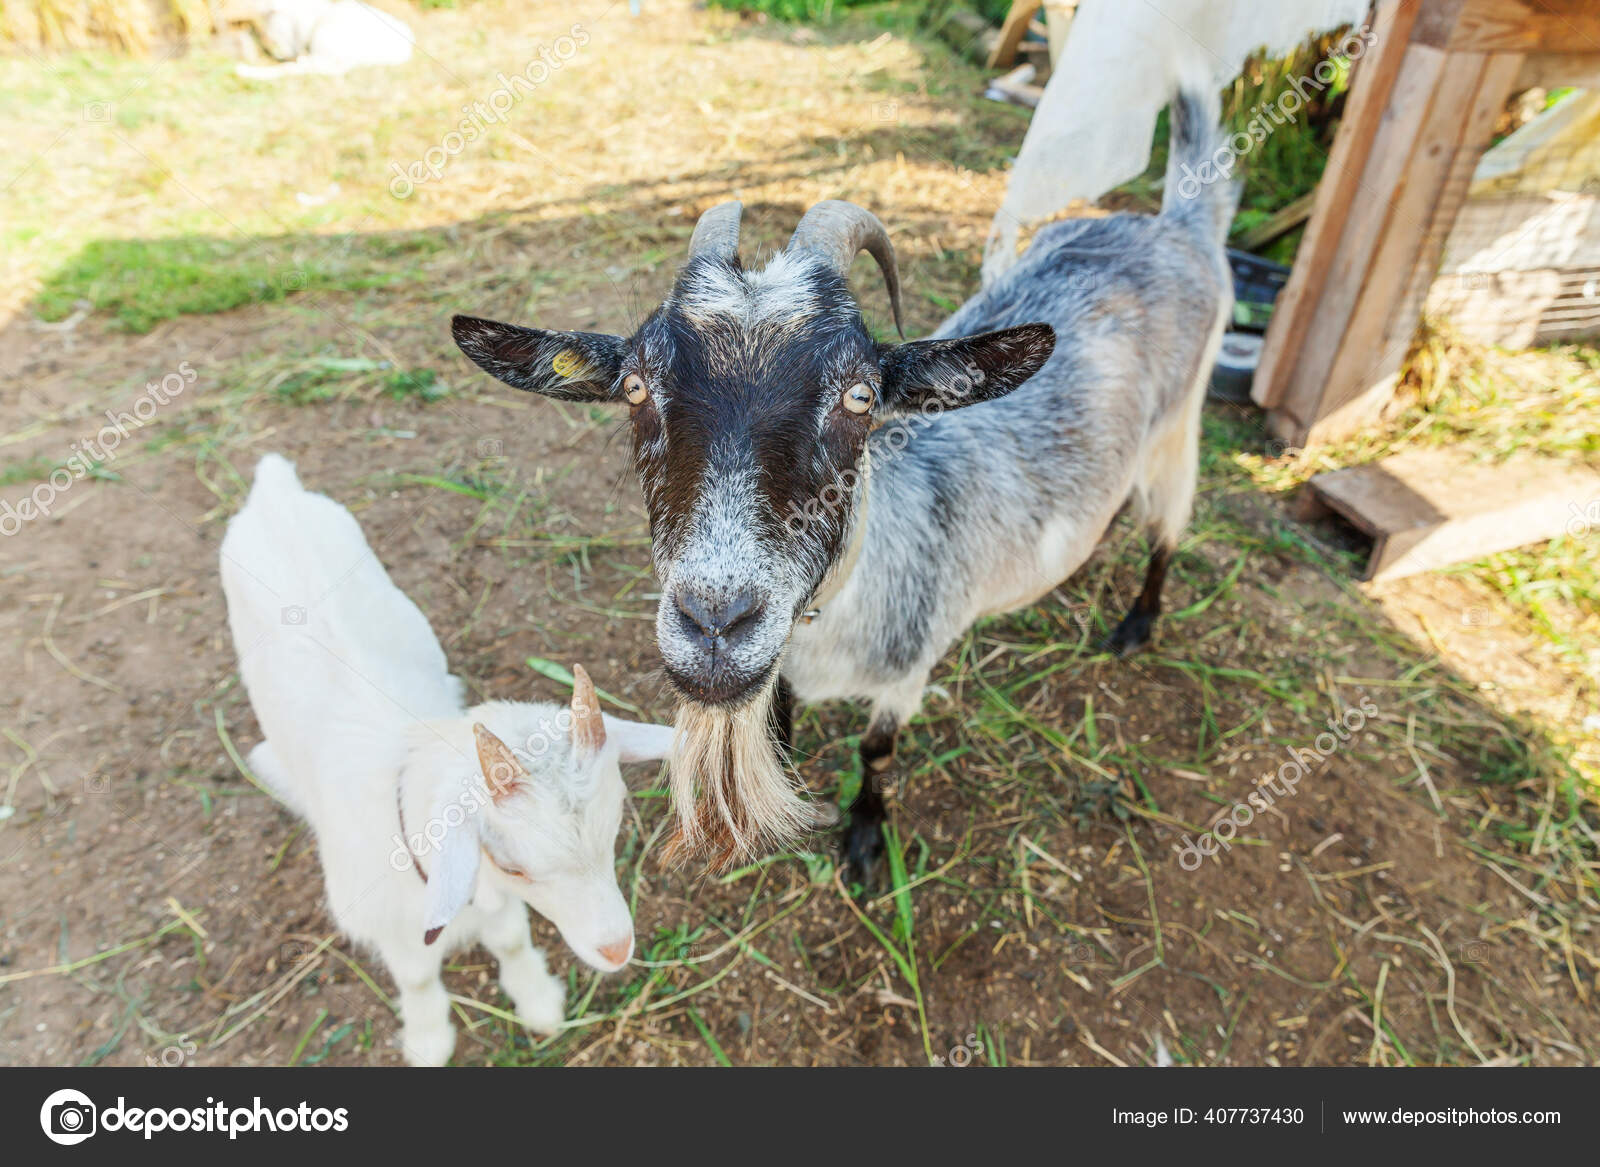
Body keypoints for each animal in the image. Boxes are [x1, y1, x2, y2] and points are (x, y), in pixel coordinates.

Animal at [220, 454, 673, 1064]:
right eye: (514, 865)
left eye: (616, 828)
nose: (617, 949)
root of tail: (273, 489)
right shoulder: (396, 922)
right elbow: (415, 978)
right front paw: (429, 1039)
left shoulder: (492, 901)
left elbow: (511, 939)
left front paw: (537, 1001)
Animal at [451, 82, 1235, 881]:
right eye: (636, 387)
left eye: (860, 397)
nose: (715, 626)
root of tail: (1173, 224)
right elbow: (783, 713)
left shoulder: (906, 672)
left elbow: (876, 749)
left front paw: (863, 838)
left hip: (1181, 432)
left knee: (1168, 530)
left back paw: (1136, 625)